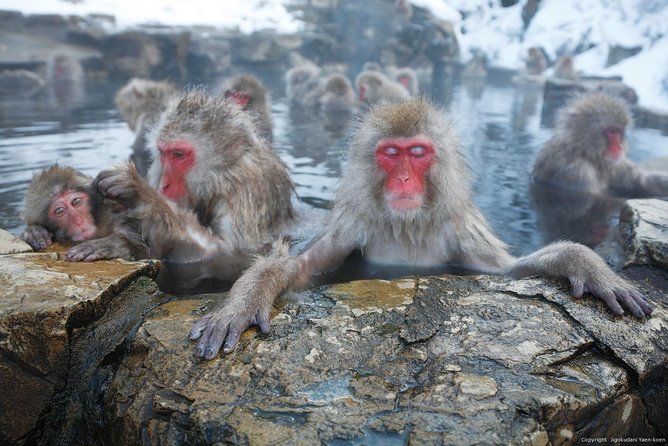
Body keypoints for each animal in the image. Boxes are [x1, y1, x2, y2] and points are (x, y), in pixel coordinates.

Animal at [20, 165, 148, 261]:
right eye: (59, 211)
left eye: (76, 201)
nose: (78, 220)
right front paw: (33, 232)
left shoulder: (122, 222)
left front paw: (109, 246)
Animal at [95, 89, 296, 293]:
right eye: (163, 153)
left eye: (179, 155)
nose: (164, 185)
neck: (220, 177)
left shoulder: (245, 196)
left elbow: (222, 253)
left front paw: (140, 192)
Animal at [189, 98, 653, 360]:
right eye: (391, 153)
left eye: (417, 153)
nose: (404, 180)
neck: (407, 226)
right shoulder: (353, 226)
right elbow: (299, 269)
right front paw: (243, 301)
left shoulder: (461, 231)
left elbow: (506, 271)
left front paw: (585, 264)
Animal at [533, 92, 668, 197]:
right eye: (610, 132)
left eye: (618, 131)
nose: (619, 147)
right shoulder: (577, 171)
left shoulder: (615, 164)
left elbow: (640, 180)